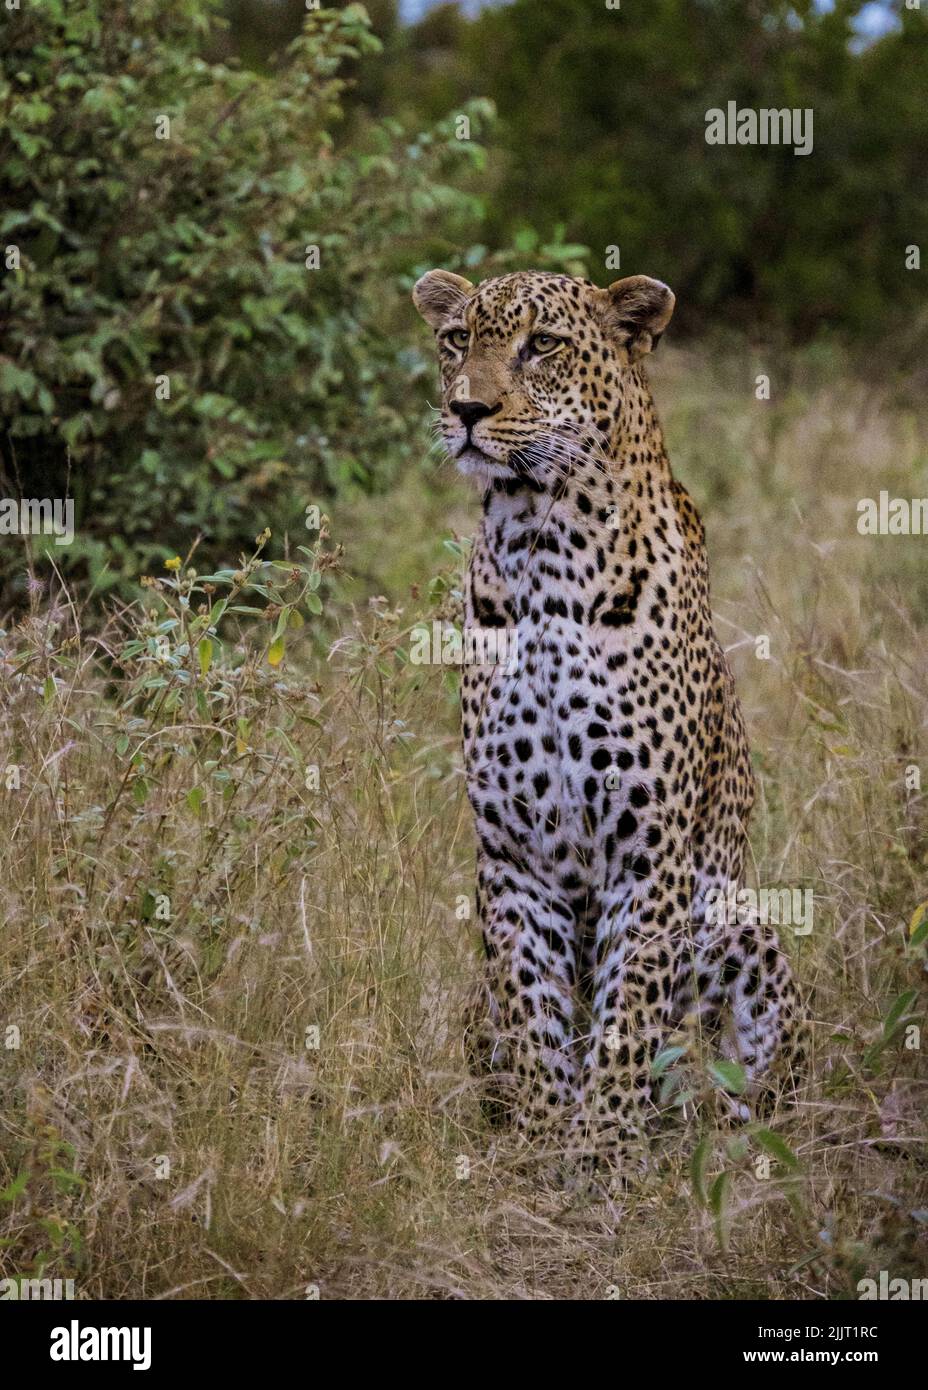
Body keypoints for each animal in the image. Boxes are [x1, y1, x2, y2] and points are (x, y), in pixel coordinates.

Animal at [413, 267, 806, 1166]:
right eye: (458, 340)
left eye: (542, 345)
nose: (466, 409)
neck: (539, 545)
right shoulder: (510, 849)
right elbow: (531, 1005)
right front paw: (540, 1135)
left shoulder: (648, 847)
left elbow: (629, 1009)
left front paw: (604, 1148)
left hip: (745, 928)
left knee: (753, 1088)